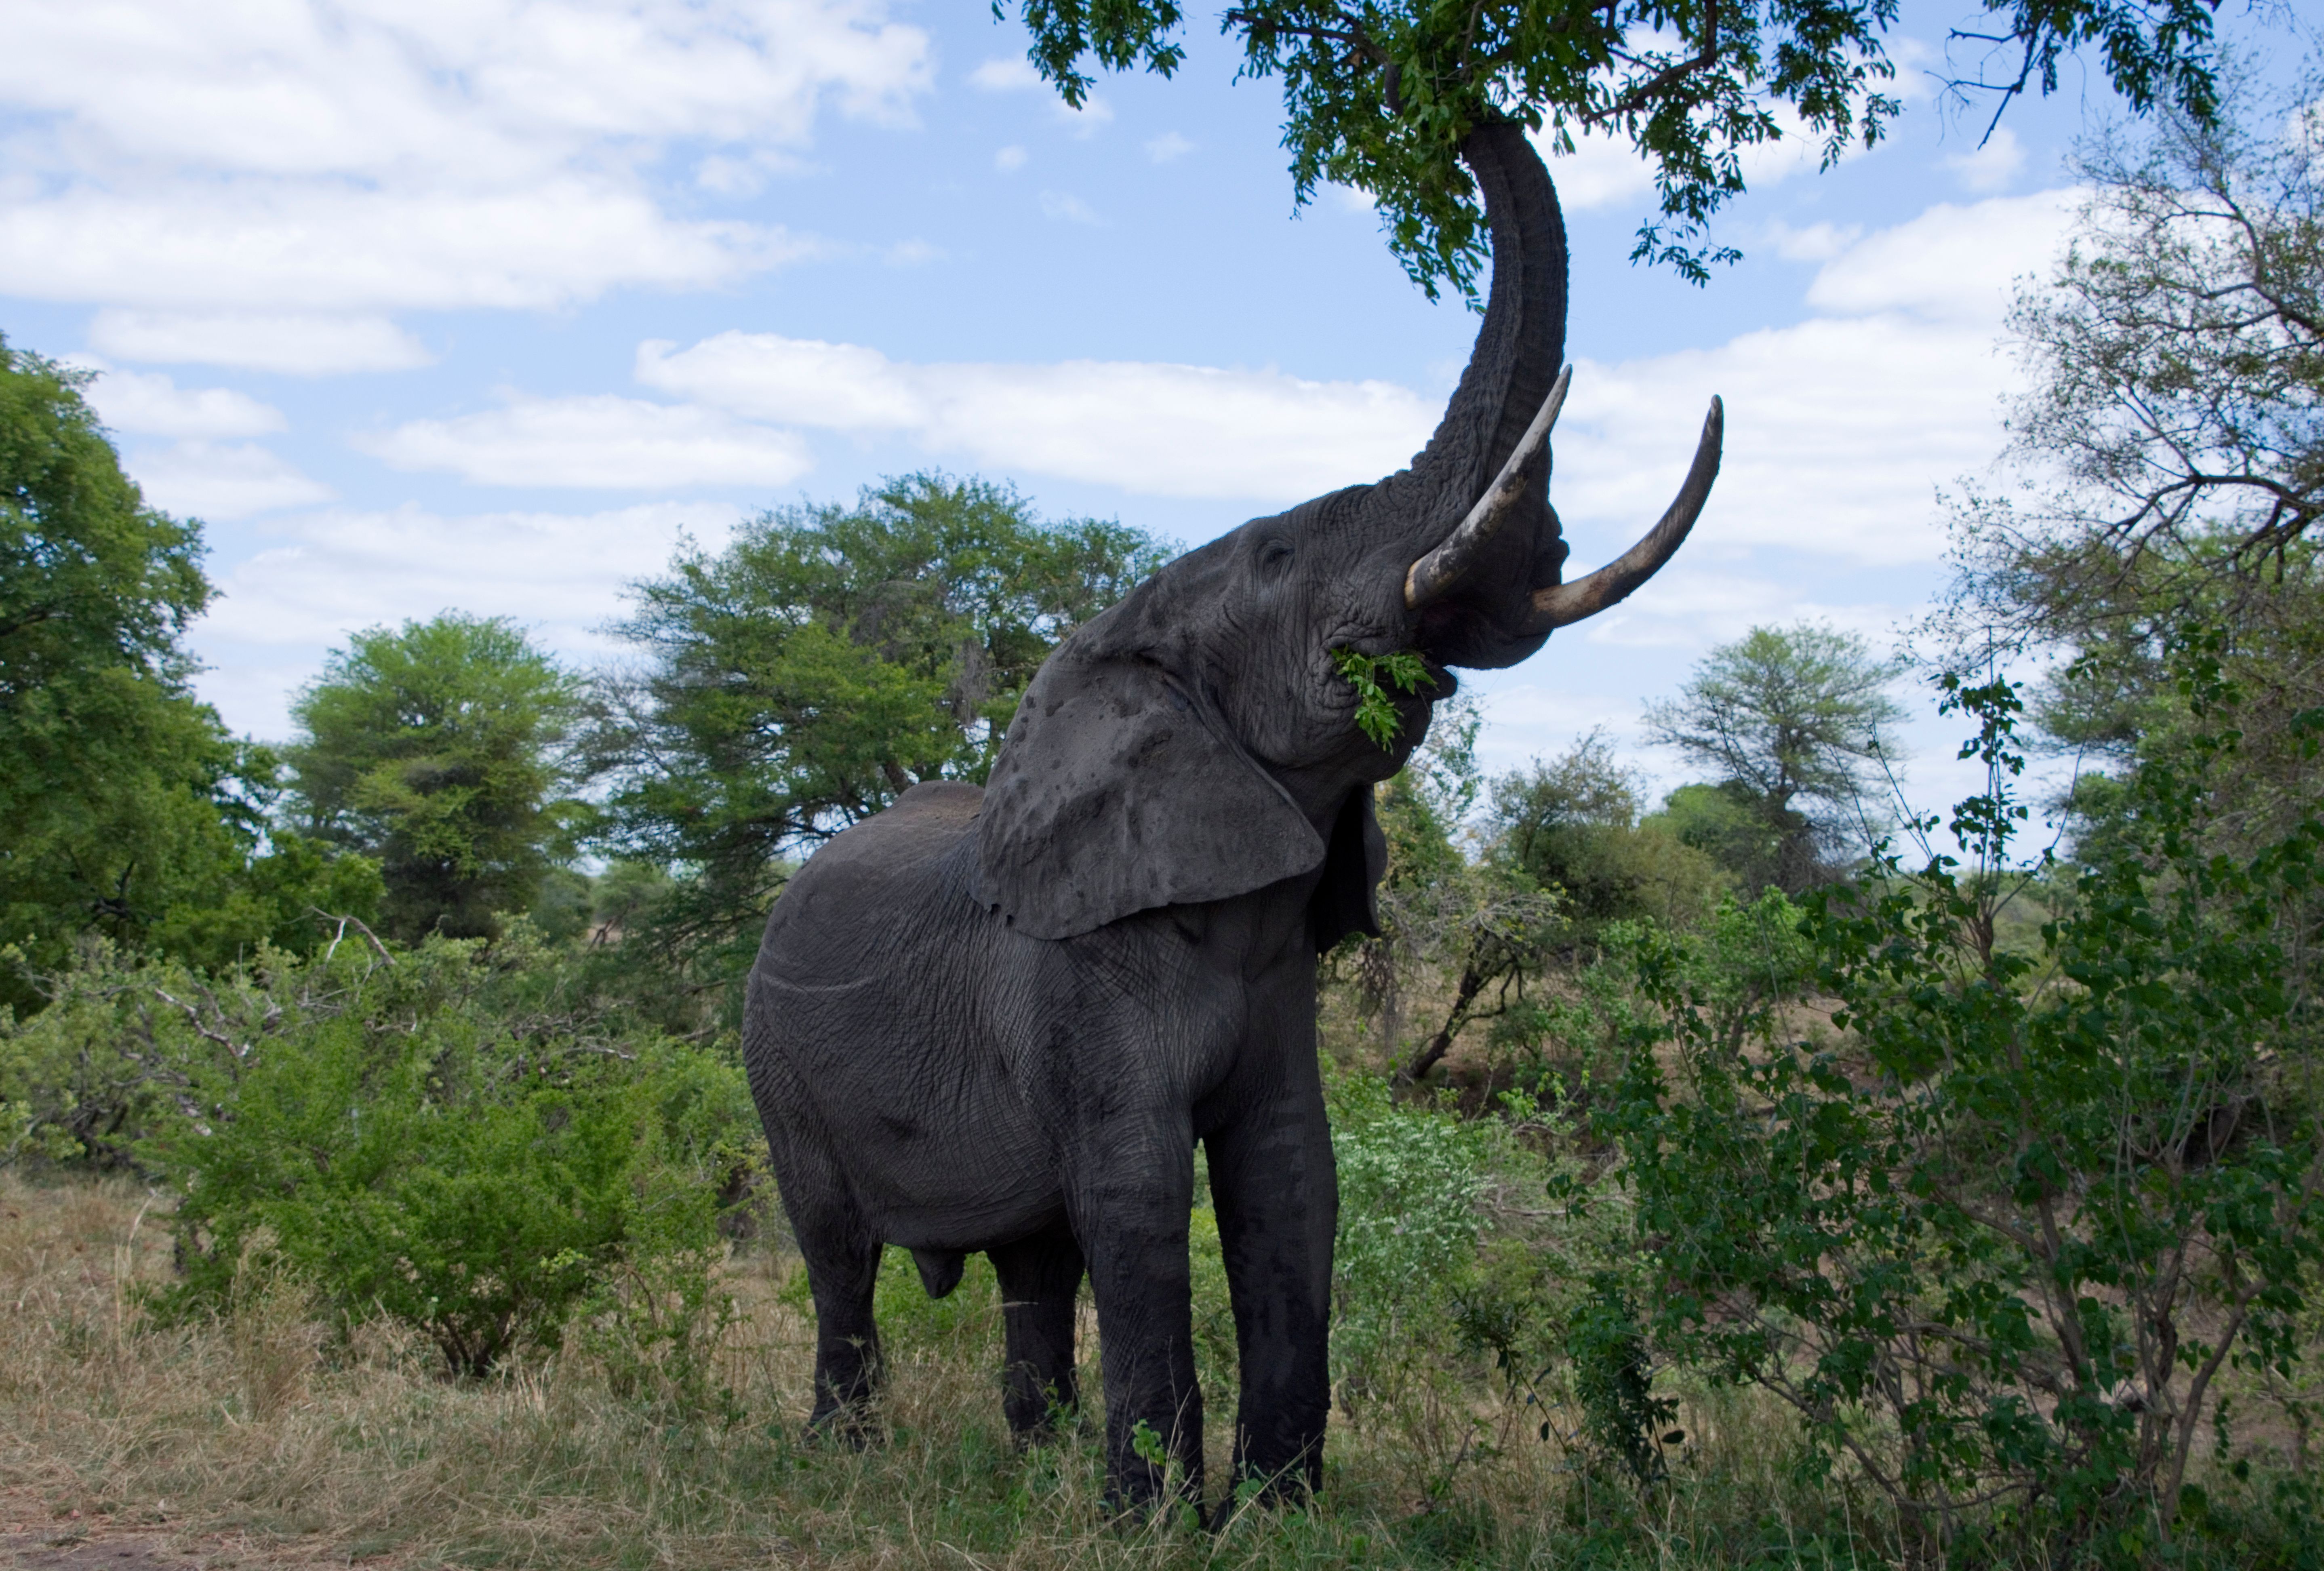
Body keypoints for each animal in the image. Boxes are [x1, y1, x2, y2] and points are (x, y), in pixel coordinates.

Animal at [741, 117, 1721, 1513]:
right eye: (1271, 559)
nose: (1427, 110)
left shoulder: (1274, 970)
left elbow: (1287, 1181)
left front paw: (1275, 1513)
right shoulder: (1082, 971)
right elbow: (1140, 1197)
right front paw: (1152, 1523)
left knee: (1033, 1261)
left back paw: (1032, 1470)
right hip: (775, 1064)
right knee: (838, 1252)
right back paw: (850, 1463)